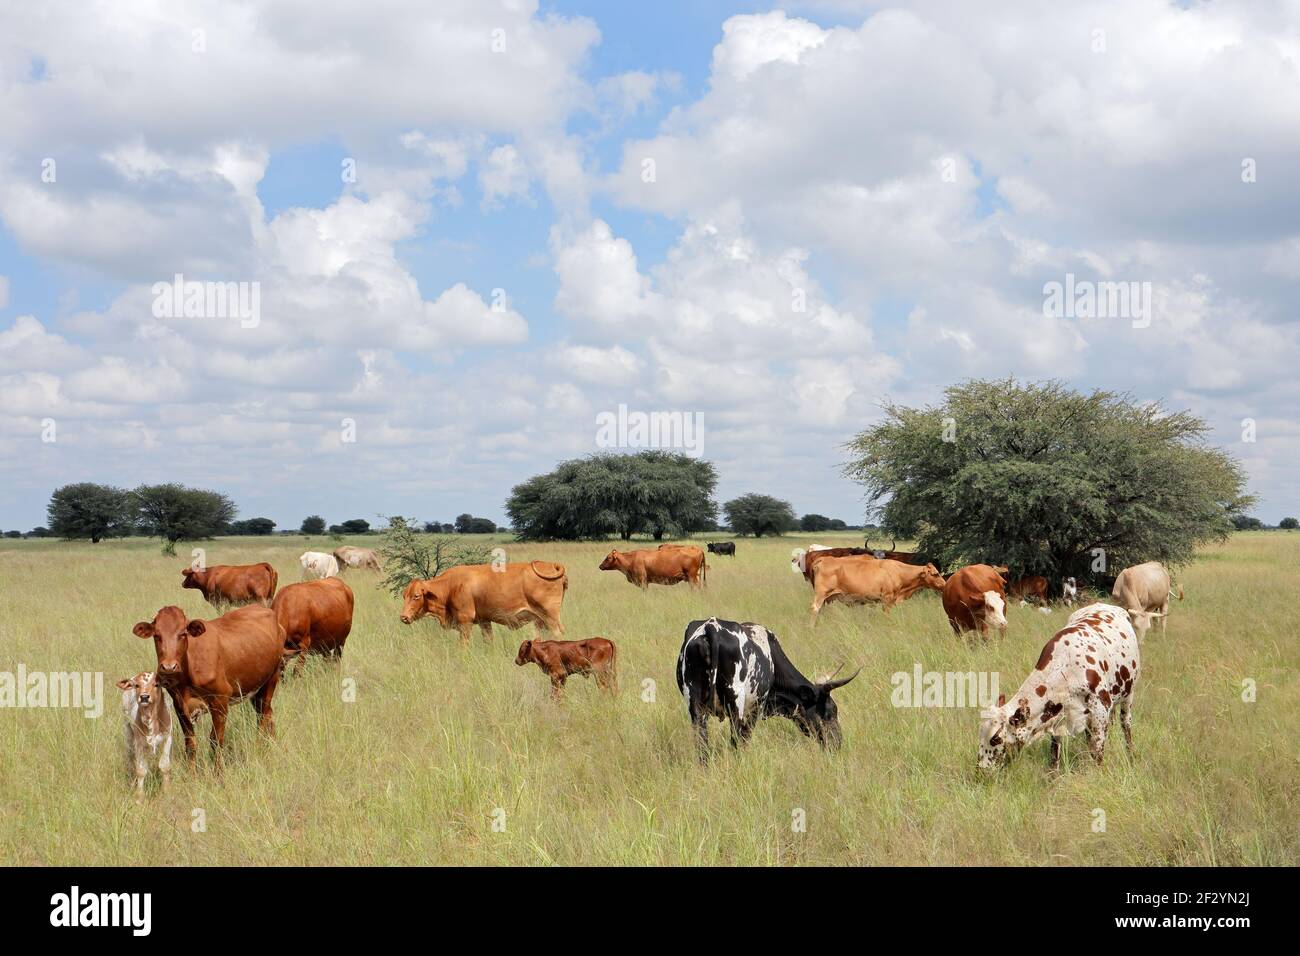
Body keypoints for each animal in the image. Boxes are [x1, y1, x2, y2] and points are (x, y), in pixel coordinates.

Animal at [131, 604, 284, 768]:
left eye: (183, 634)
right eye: (157, 635)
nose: (169, 667)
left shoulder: (220, 700)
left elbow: (216, 741)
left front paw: (219, 773)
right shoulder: (179, 705)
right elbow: (190, 744)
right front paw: (191, 773)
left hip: (272, 679)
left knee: (263, 717)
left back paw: (260, 748)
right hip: (255, 688)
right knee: (267, 714)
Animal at [400, 560, 568, 645]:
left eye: (416, 596)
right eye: (404, 595)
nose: (403, 617)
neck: (450, 585)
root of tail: (552, 565)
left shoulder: (465, 622)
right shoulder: (484, 621)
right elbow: (488, 641)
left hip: (550, 617)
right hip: (541, 621)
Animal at [676, 617, 859, 760]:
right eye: (829, 712)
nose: (837, 744)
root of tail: (711, 626)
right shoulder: (755, 708)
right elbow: (744, 739)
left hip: (695, 705)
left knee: (702, 744)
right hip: (736, 704)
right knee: (735, 740)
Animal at [809, 557, 945, 625]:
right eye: (936, 574)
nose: (944, 584)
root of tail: (824, 559)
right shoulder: (887, 599)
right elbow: (887, 615)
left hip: (826, 598)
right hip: (820, 595)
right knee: (815, 609)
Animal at [978, 602, 1140, 772]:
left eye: (995, 738)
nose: (981, 769)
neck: (1065, 668)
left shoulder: (1100, 712)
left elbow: (1097, 753)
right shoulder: (1058, 716)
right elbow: (1054, 754)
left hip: (1128, 695)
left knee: (1126, 724)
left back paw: (1131, 753)